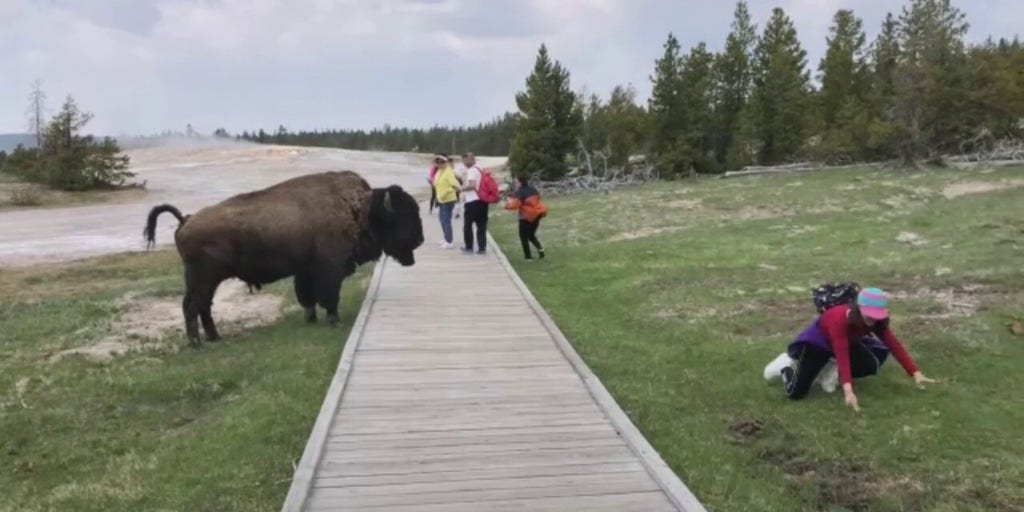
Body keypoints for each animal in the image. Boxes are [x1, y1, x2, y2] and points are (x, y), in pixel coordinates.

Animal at [142, 170, 424, 346]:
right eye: (404, 215)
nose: (420, 239)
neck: (361, 209)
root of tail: (185, 220)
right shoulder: (329, 269)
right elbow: (328, 297)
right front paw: (333, 320)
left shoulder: (305, 271)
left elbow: (307, 298)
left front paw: (311, 319)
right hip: (202, 278)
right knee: (192, 306)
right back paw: (197, 343)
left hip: (206, 281)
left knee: (203, 306)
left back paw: (214, 338)